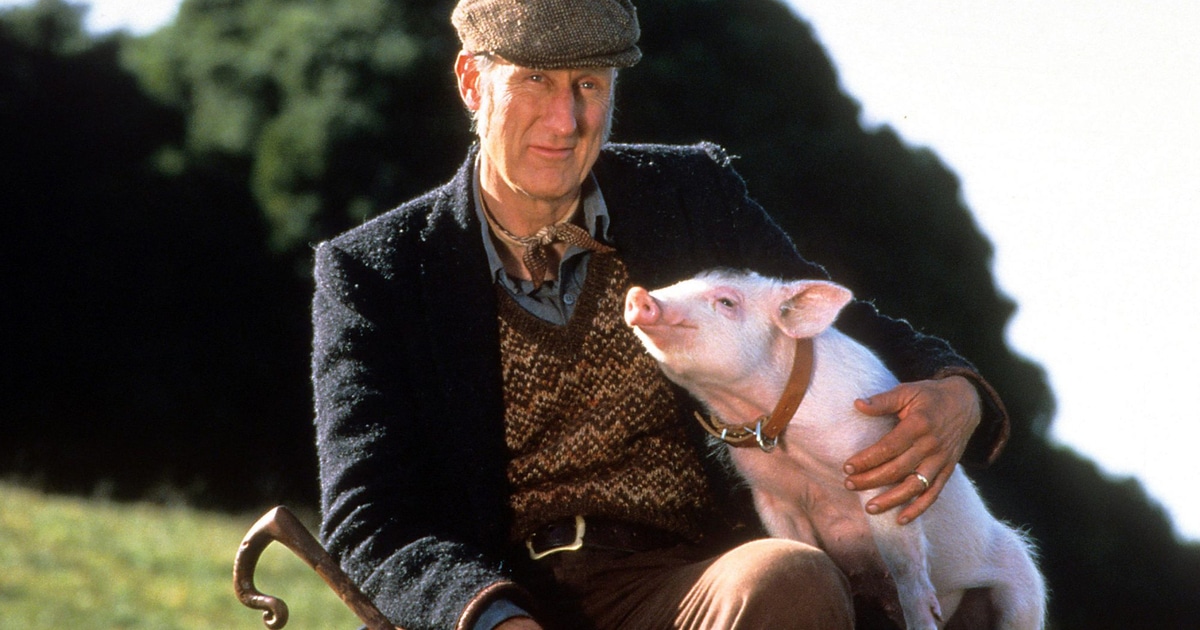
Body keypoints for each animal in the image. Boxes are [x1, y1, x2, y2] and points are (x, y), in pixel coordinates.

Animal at [624, 270, 1045, 630]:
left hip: (1025, 593)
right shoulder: (771, 494)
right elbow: (799, 546)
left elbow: (904, 561)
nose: (639, 295)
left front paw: (924, 618)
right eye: (680, 282)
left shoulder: (880, 469)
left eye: (727, 302)